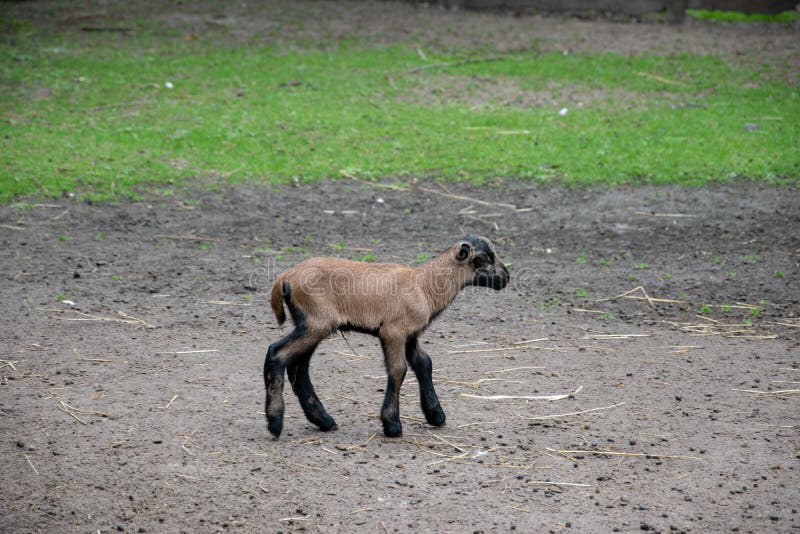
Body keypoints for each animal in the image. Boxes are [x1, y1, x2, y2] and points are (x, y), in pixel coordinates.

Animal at [264, 236, 510, 438]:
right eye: (484, 256)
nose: (506, 277)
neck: (424, 286)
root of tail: (285, 277)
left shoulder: (410, 334)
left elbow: (424, 363)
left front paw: (436, 415)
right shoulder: (393, 331)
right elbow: (398, 369)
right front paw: (392, 424)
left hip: (312, 324)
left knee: (299, 369)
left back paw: (323, 420)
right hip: (316, 321)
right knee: (278, 353)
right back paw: (275, 422)